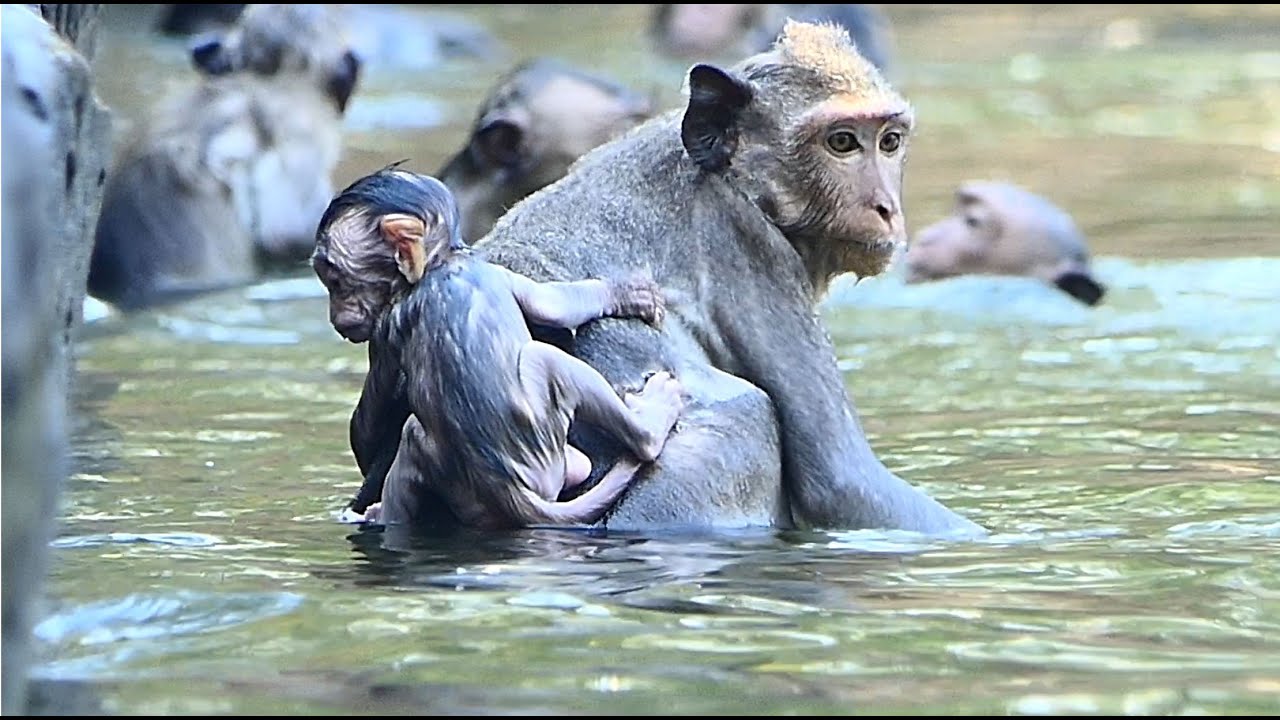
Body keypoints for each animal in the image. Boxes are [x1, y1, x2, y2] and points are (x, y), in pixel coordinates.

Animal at [312, 166, 685, 530]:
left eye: (335, 280)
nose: (335, 316)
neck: (437, 266)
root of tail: (506, 488)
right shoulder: (487, 278)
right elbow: (553, 305)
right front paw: (623, 294)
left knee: (413, 438)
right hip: (549, 453)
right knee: (547, 361)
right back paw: (651, 424)